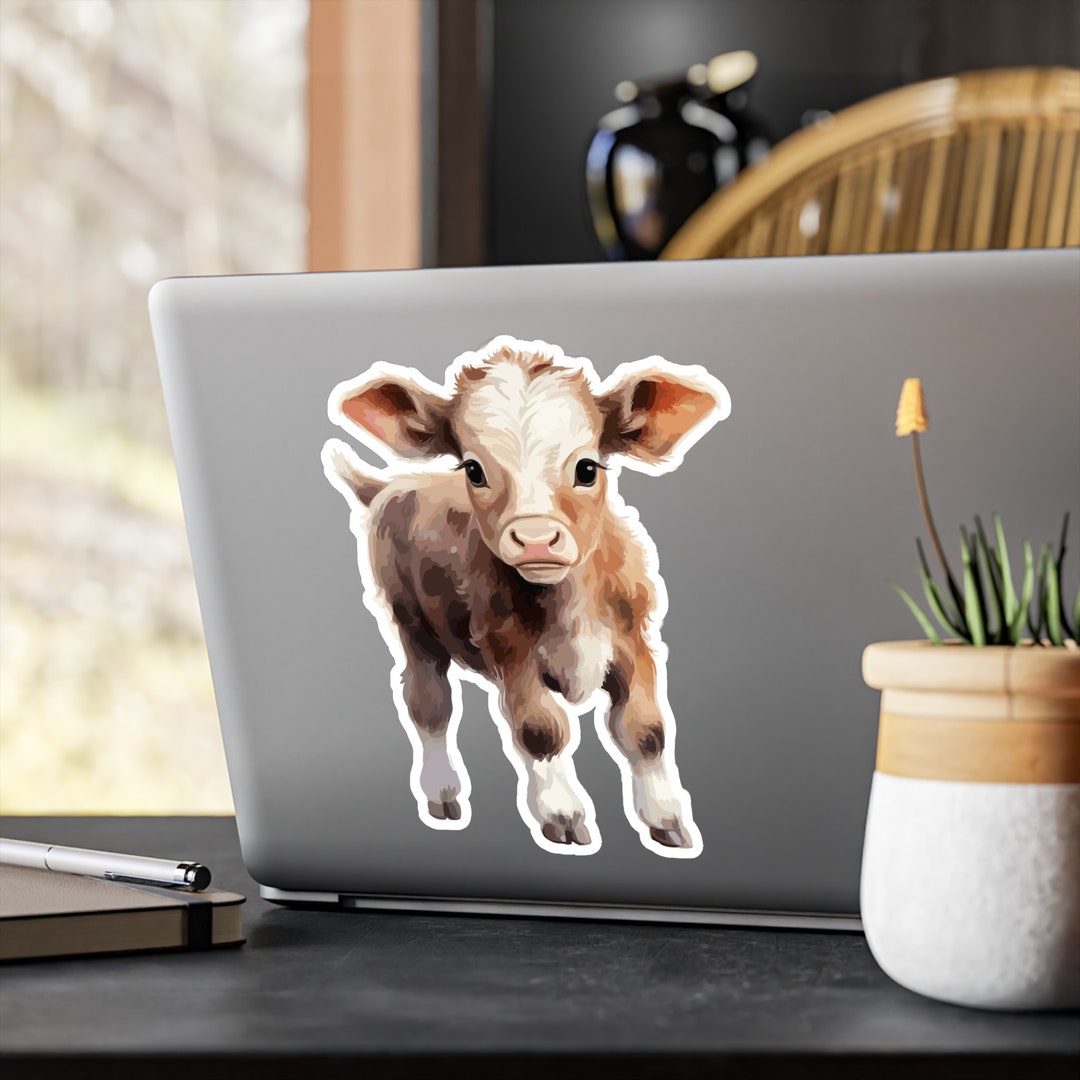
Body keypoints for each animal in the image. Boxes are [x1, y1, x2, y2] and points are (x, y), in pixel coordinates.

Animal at [321, 336, 729, 858]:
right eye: (474, 469)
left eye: (587, 467)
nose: (536, 539)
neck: (571, 603)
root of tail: (393, 483)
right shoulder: (511, 656)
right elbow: (541, 731)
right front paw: (562, 815)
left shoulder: (636, 644)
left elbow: (647, 731)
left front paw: (667, 819)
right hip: (411, 624)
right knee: (428, 703)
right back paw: (442, 793)